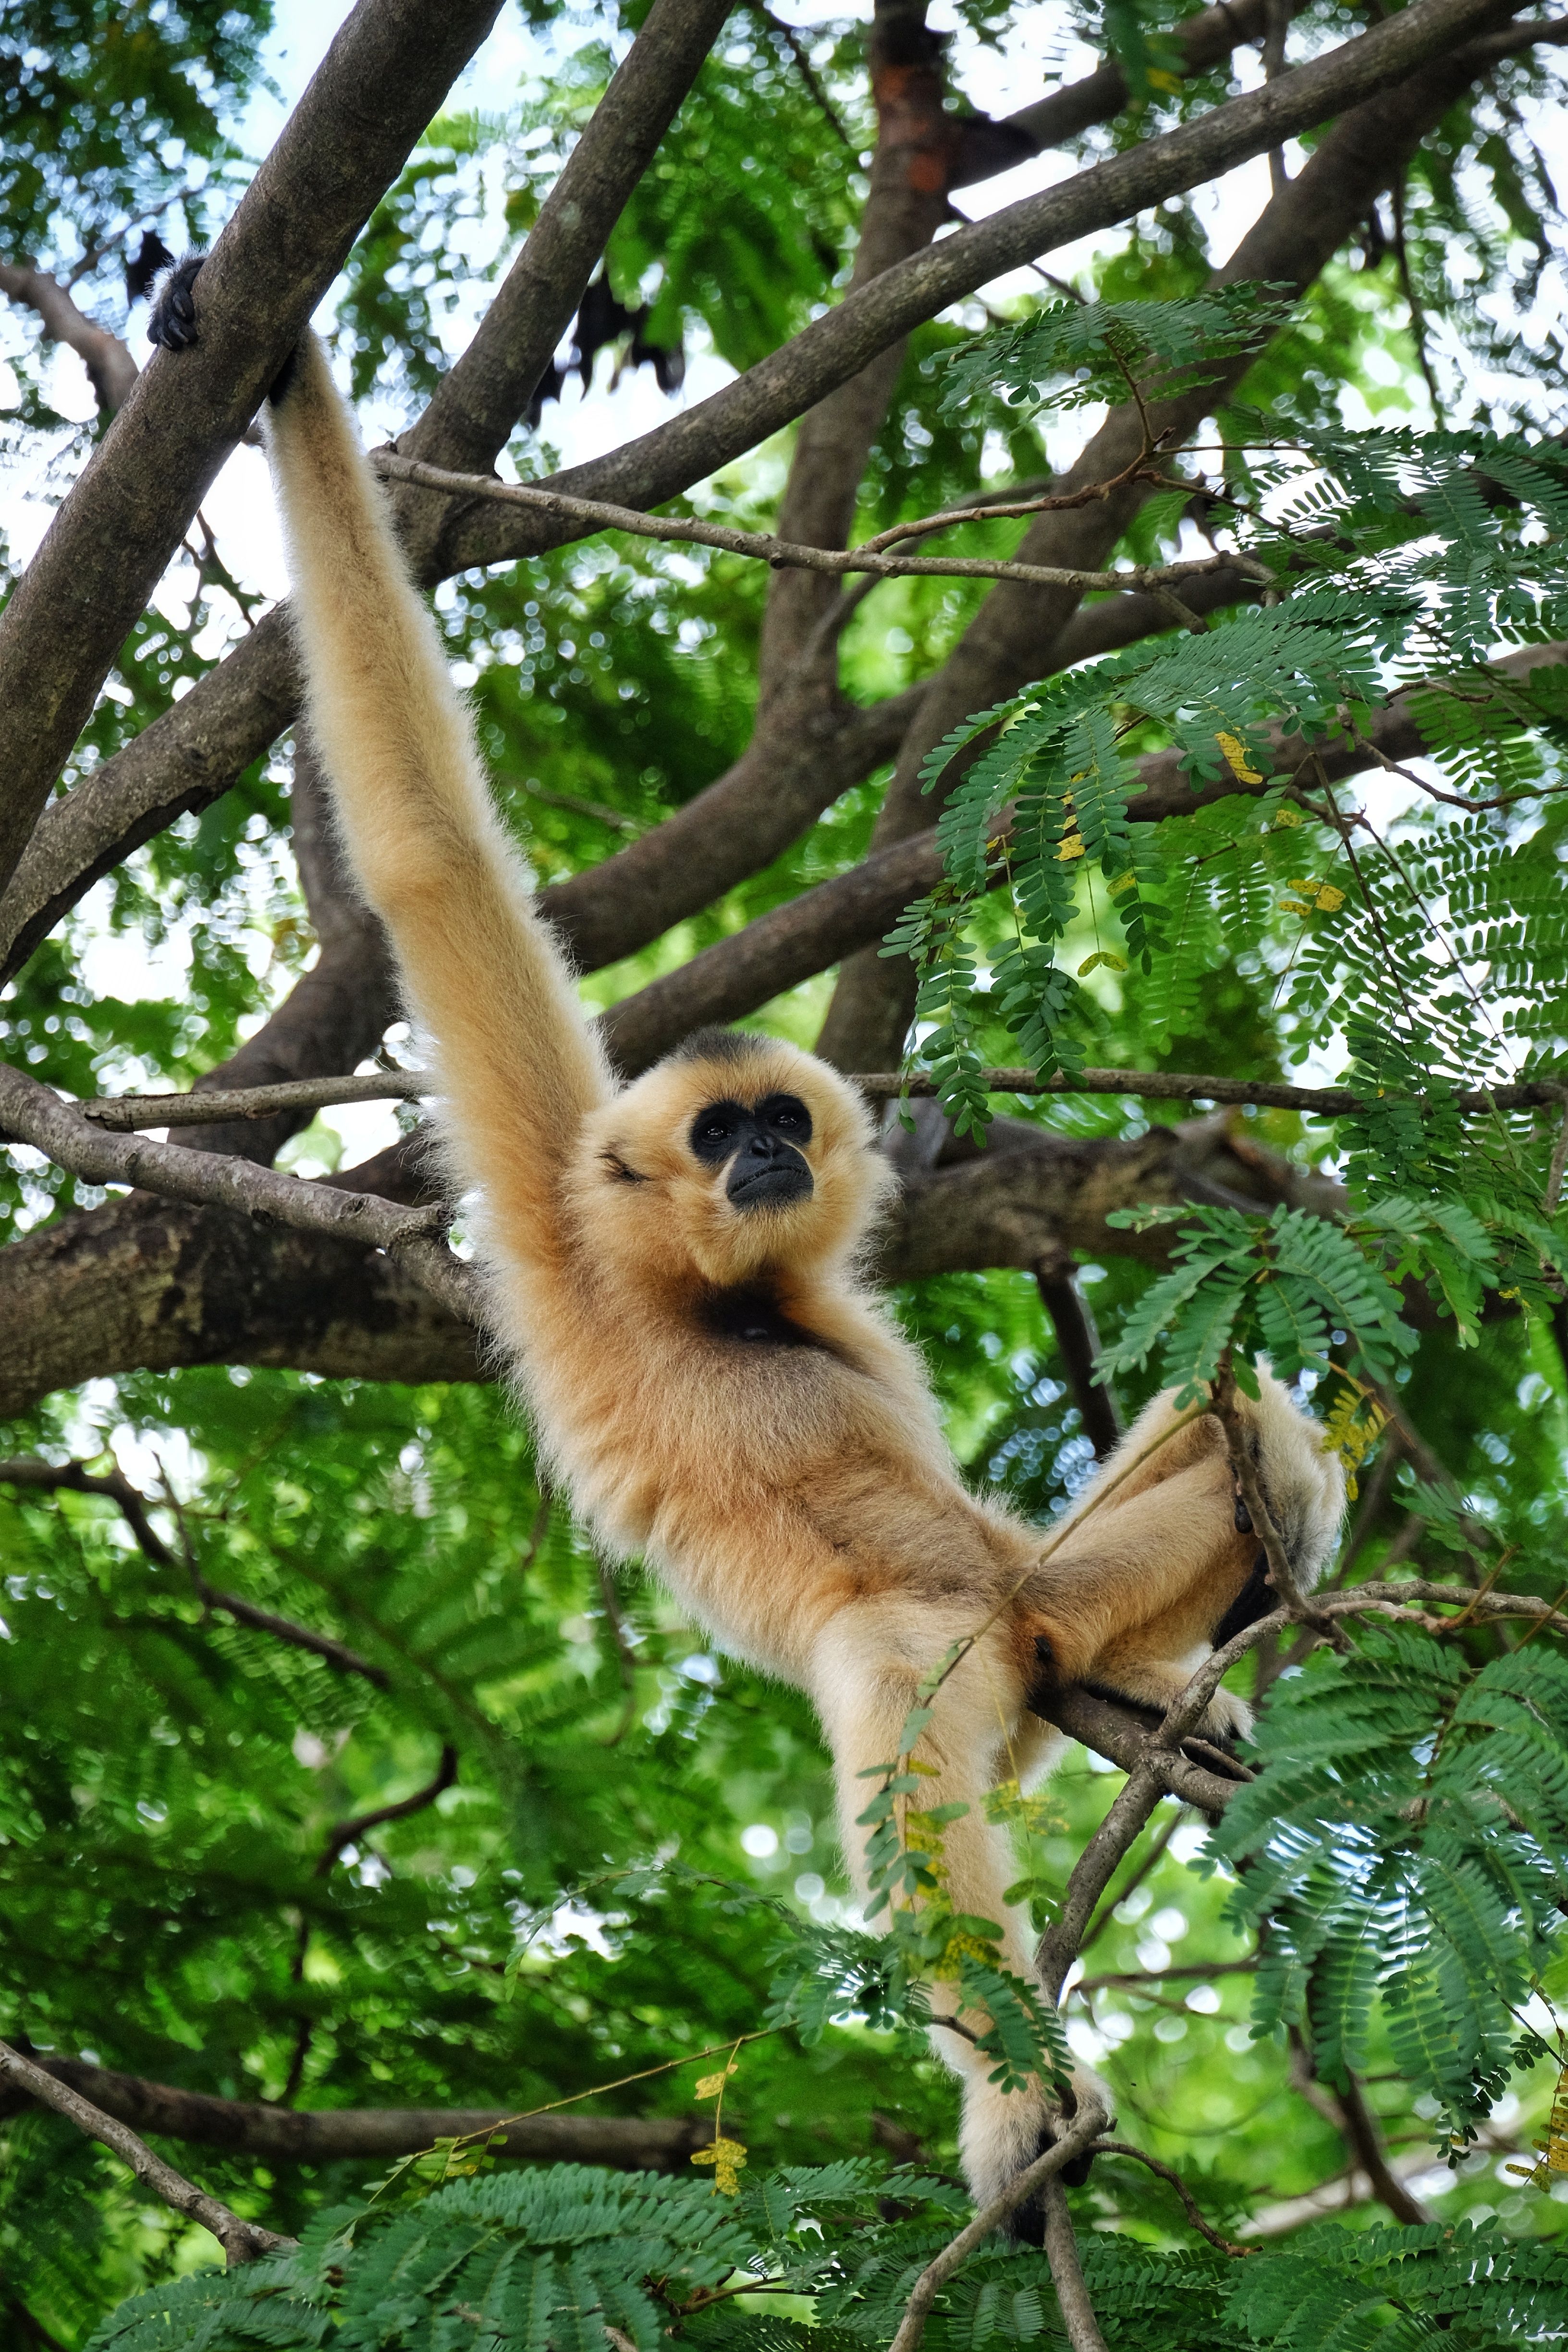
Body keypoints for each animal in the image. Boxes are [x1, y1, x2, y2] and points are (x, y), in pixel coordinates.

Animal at [149, 268, 1345, 2231]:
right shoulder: (565, 1240)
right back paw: (1016, 2086)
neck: (717, 1305)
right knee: (953, 1679)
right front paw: (277, 369)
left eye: (778, 1116)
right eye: (720, 1136)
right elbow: (428, 859)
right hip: (992, 1628)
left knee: (1221, 1437)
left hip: (1039, 1603)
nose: (775, 1149)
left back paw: (1183, 1645)